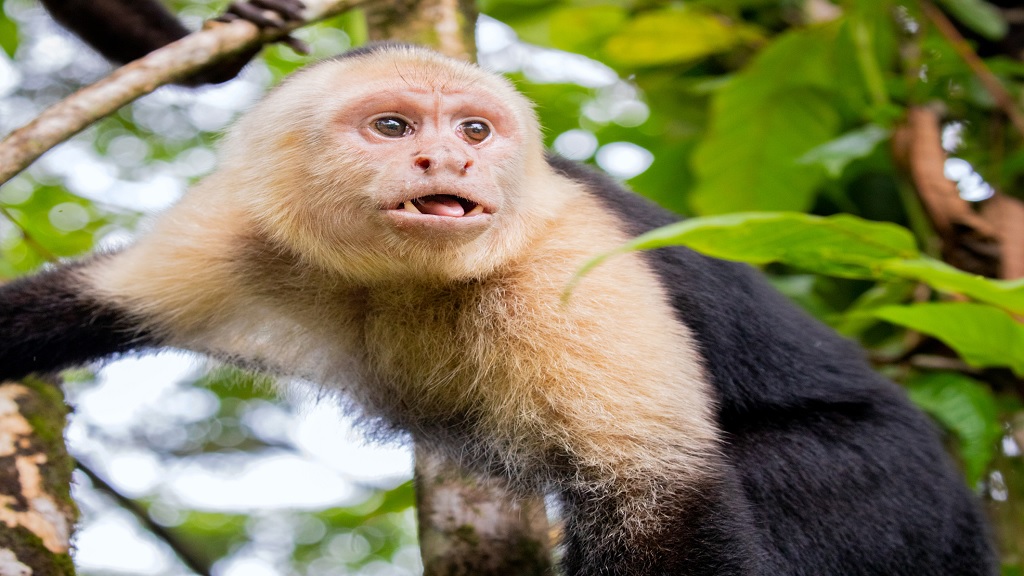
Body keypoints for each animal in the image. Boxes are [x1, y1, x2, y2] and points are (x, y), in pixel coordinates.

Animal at [0, 44, 996, 575]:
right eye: (394, 127)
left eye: (475, 129)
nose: (452, 161)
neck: (399, 277)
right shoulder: (241, 232)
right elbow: (70, 307)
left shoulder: (561, 264)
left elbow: (659, 508)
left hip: (876, 484)